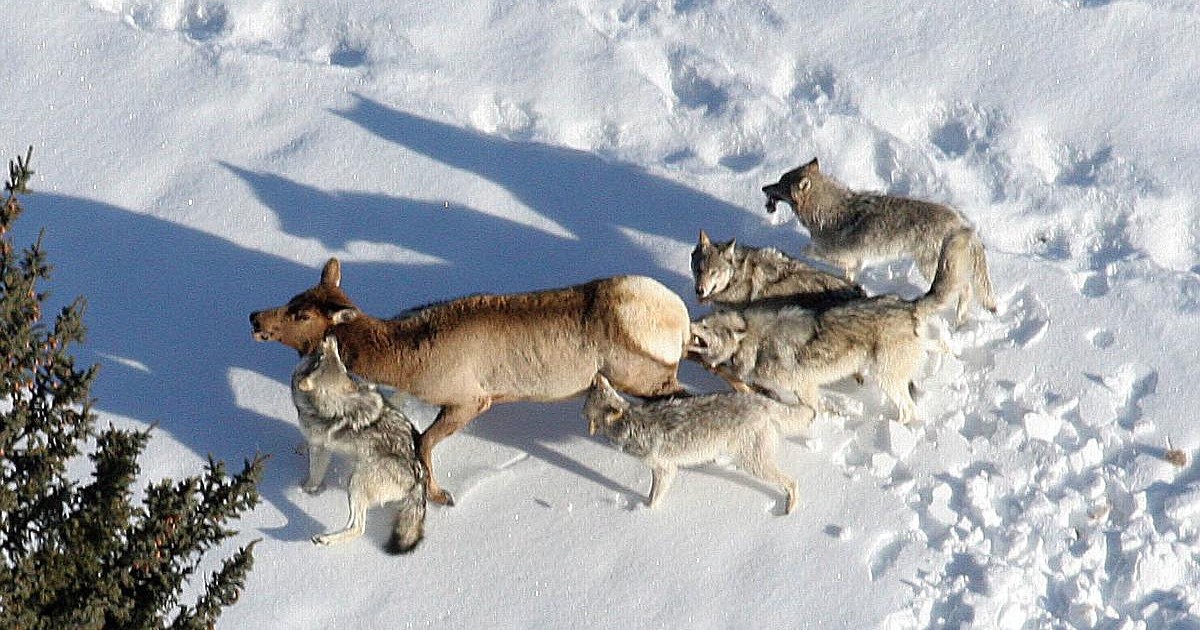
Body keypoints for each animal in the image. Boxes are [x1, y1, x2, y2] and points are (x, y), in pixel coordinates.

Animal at [292, 335, 427, 554]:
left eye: (332, 359)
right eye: (324, 358)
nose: (330, 338)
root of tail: (418, 477)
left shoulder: (321, 448)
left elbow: (314, 476)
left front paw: (304, 492)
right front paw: (300, 449)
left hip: (355, 483)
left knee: (358, 528)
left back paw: (324, 539)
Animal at [583, 374, 806, 514]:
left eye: (600, 389)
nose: (597, 376)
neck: (629, 423)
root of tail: (761, 402)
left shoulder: (665, 469)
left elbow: (653, 498)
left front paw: (643, 513)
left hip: (753, 465)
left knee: (792, 482)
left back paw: (789, 508)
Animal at [761, 157, 996, 323]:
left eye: (779, 184)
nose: (763, 187)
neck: (827, 213)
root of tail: (961, 222)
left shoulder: (845, 257)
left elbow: (807, 249)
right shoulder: (853, 264)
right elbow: (847, 276)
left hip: (930, 267)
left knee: (964, 289)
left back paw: (959, 320)